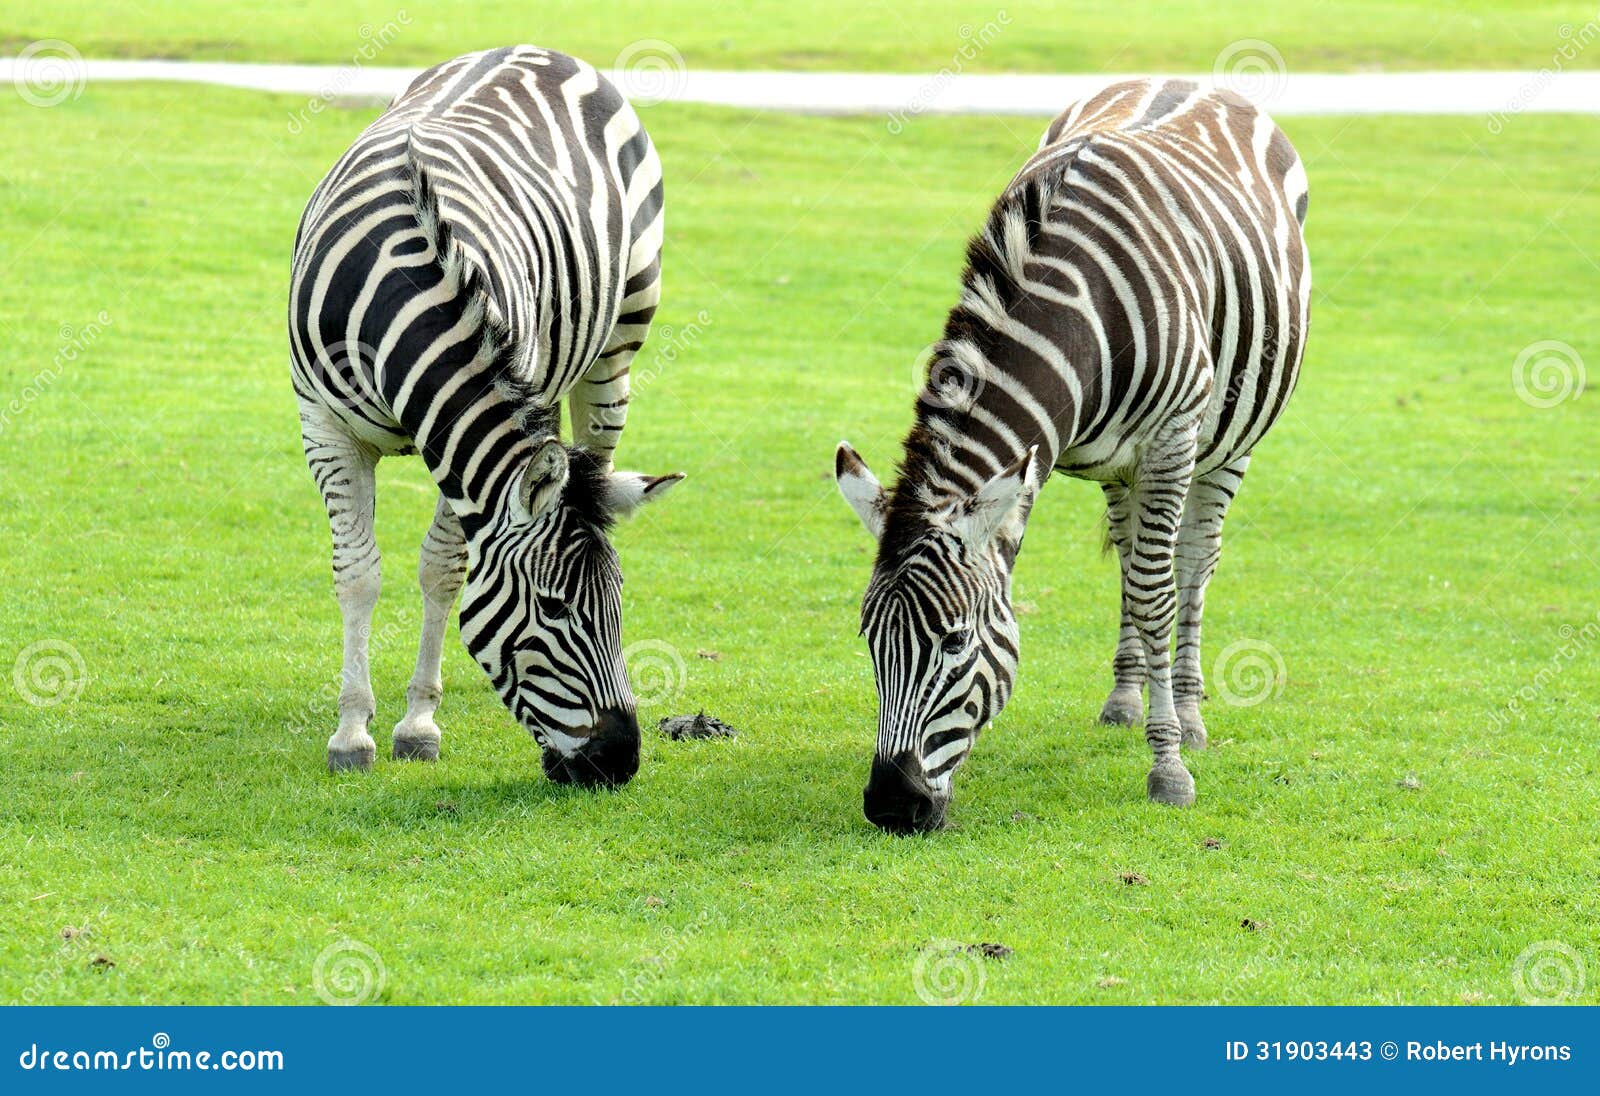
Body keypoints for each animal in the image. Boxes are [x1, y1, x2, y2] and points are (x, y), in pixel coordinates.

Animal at [289, 46, 679, 785]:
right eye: (554, 609)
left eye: (619, 605)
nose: (620, 761)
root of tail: (541, 50)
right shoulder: (325, 425)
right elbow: (358, 574)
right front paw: (352, 731)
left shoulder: (461, 451)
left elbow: (443, 570)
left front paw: (418, 721)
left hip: (616, 349)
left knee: (599, 459)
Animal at [835, 79, 1310, 832]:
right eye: (869, 641)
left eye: (954, 642)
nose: (890, 805)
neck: (1075, 305)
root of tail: (1193, 80)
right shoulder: (1050, 454)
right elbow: (1127, 578)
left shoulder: (1171, 437)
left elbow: (1156, 595)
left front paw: (1168, 766)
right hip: (1117, 463)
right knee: (1133, 553)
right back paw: (1126, 697)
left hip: (1228, 442)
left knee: (1191, 563)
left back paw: (1189, 709)